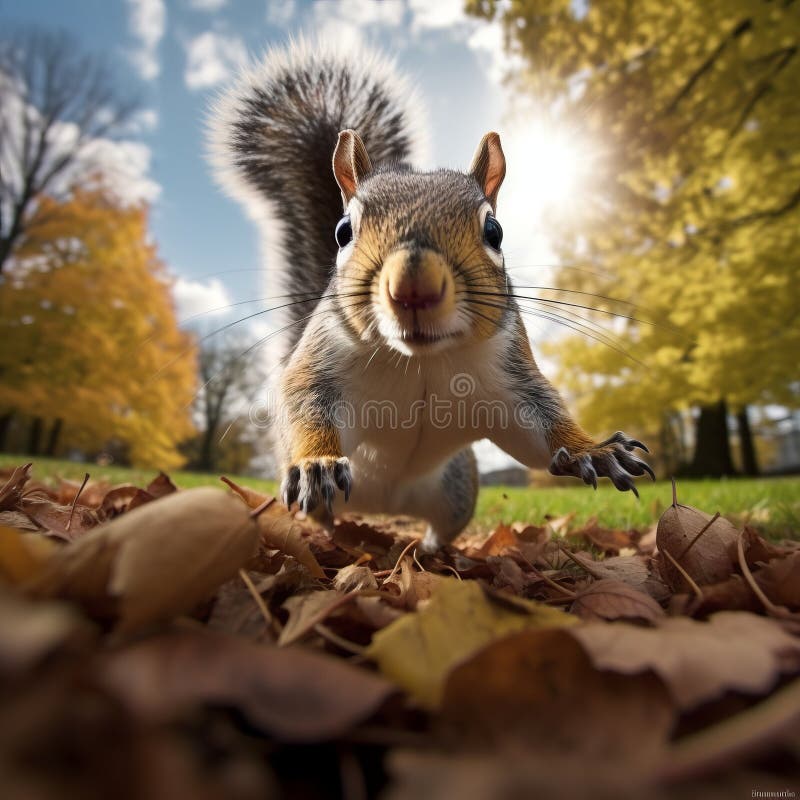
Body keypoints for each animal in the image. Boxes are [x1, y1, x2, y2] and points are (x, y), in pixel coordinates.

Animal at [209, 39, 653, 551]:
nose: (413, 287)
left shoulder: (510, 379)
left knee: (444, 527)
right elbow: (303, 404)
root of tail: (386, 505)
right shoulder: (319, 364)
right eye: (342, 232)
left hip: (457, 491)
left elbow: (541, 429)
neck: (419, 361)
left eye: (495, 231)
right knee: (324, 515)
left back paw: (433, 551)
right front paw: (316, 461)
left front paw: (594, 450)